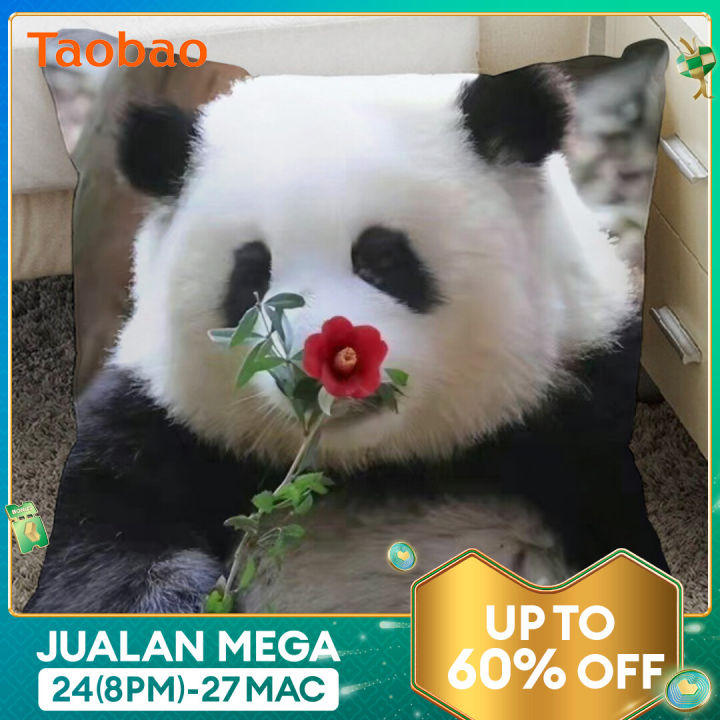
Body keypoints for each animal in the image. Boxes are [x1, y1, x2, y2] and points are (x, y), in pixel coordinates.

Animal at [26, 60, 668, 613]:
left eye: (381, 258)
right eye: (251, 278)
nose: (318, 370)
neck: (375, 466)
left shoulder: (579, 396)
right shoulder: (163, 422)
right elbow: (96, 539)